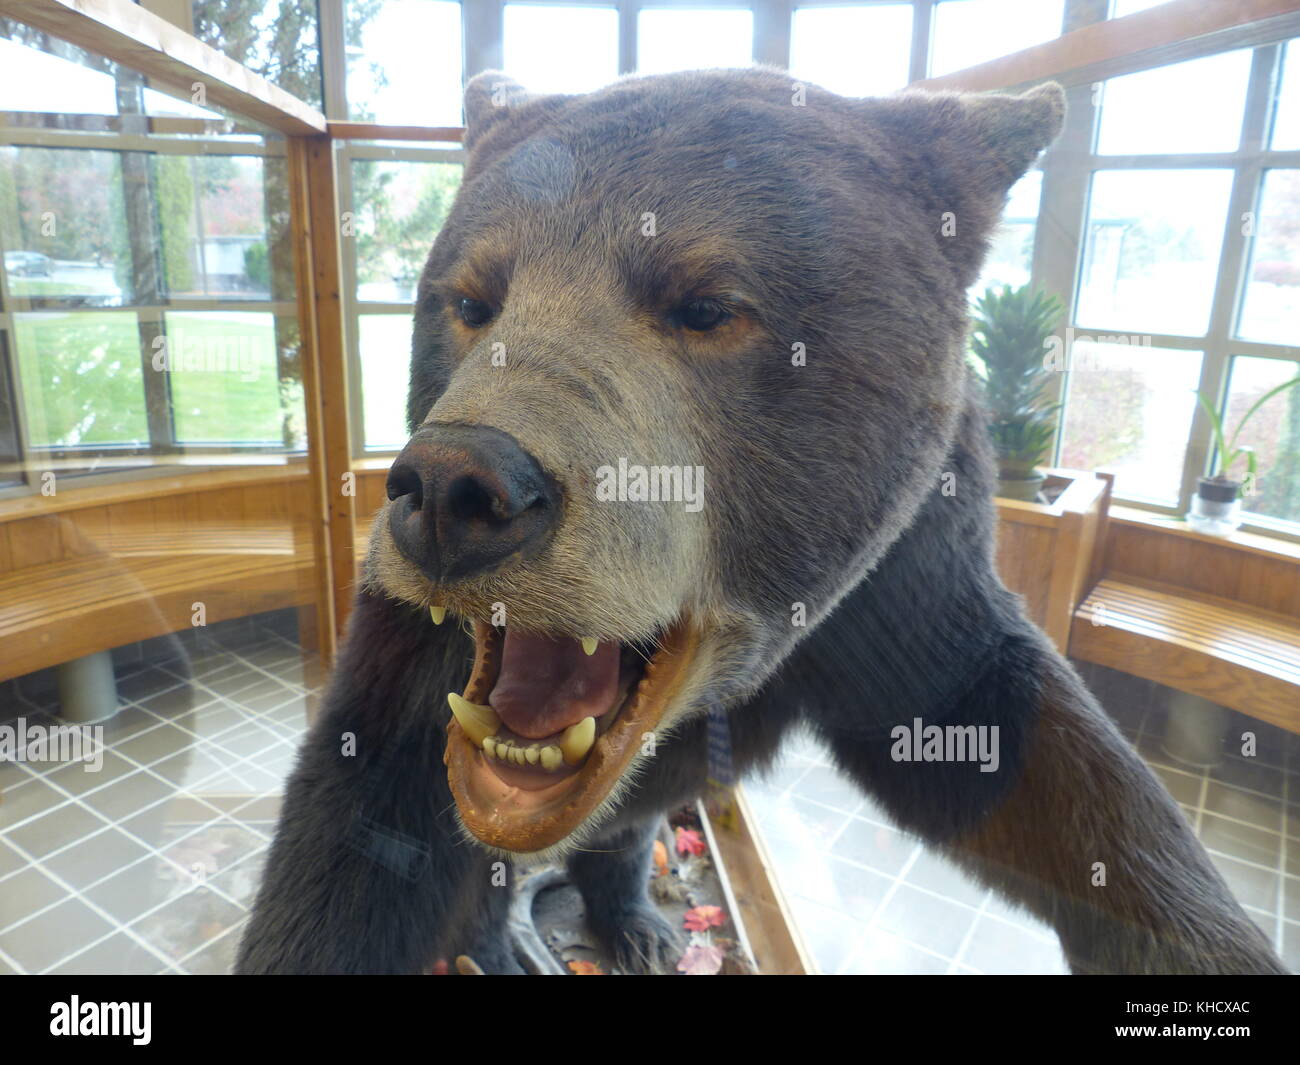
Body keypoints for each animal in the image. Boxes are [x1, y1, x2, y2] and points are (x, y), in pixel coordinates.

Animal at [236, 67, 1286, 975]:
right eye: (469, 299)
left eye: (706, 304)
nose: (460, 488)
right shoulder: (417, 652)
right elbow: (362, 819)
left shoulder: (900, 578)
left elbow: (1017, 751)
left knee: (628, 828)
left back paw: (637, 922)